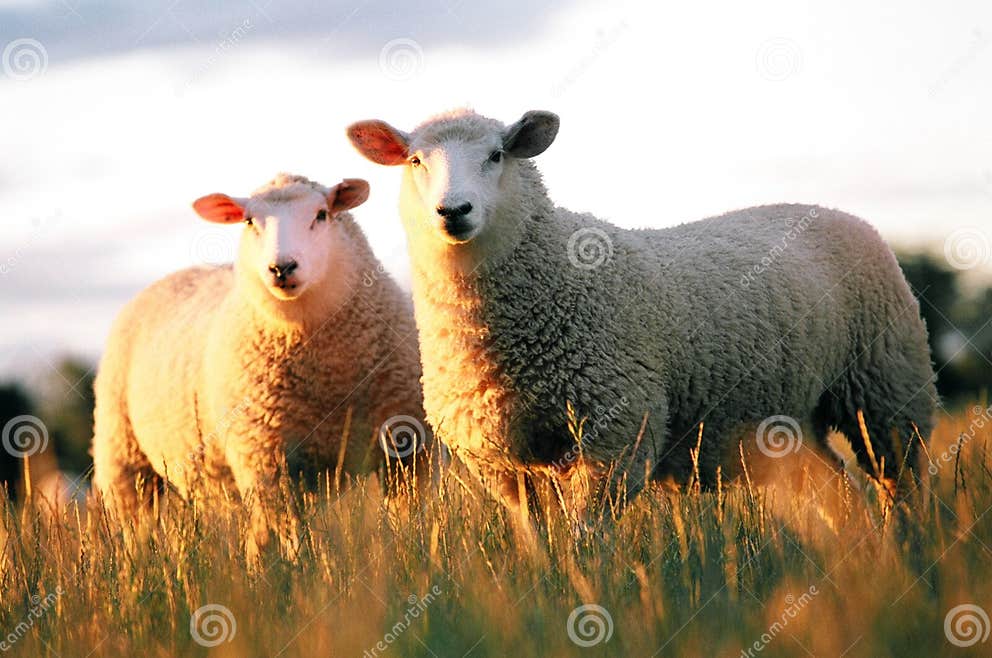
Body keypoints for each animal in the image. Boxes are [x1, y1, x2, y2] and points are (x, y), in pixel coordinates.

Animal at [91, 173, 427, 560]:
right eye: (249, 221)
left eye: (321, 214)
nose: (282, 267)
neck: (326, 375)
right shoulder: (268, 462)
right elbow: (299, 540)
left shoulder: (407, 449)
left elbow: (409, 519)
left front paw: (416, 558)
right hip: (124, 460)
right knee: (136, 530)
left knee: (255, 532)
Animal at [346, 108, 937, 519]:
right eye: (415, 161)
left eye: (496, 155)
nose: (453, 211)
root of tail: (836, 211)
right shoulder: (501, 463)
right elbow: (539, 545)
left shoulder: (615, 436)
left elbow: (586, 536)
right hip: (795, 418)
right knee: (838, 490)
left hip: (887, 388)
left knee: (903, 485)